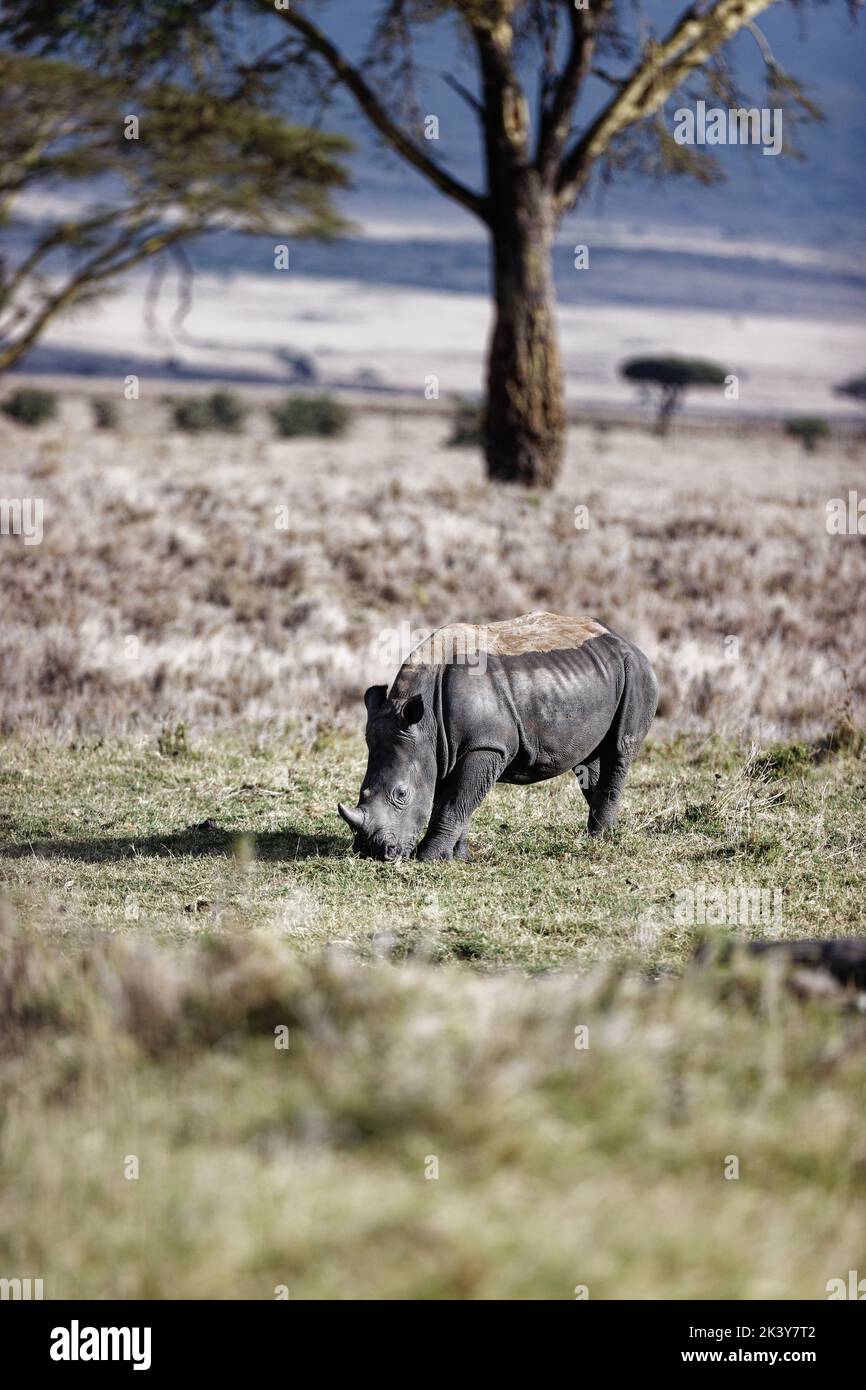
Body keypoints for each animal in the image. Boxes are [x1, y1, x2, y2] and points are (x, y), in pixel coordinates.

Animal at [338, 611, 658, 861]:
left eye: (401, 795)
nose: (373, 853)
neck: (425, 720)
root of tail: (627, 641)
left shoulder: (485, 746)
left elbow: (454, 803)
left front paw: (428, 858)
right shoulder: (446, 748)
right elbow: (459, 801)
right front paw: (457, 858)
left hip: (636, 673)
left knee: (619, 749)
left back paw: (600, 838)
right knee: (590, 760)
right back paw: (598, 835)